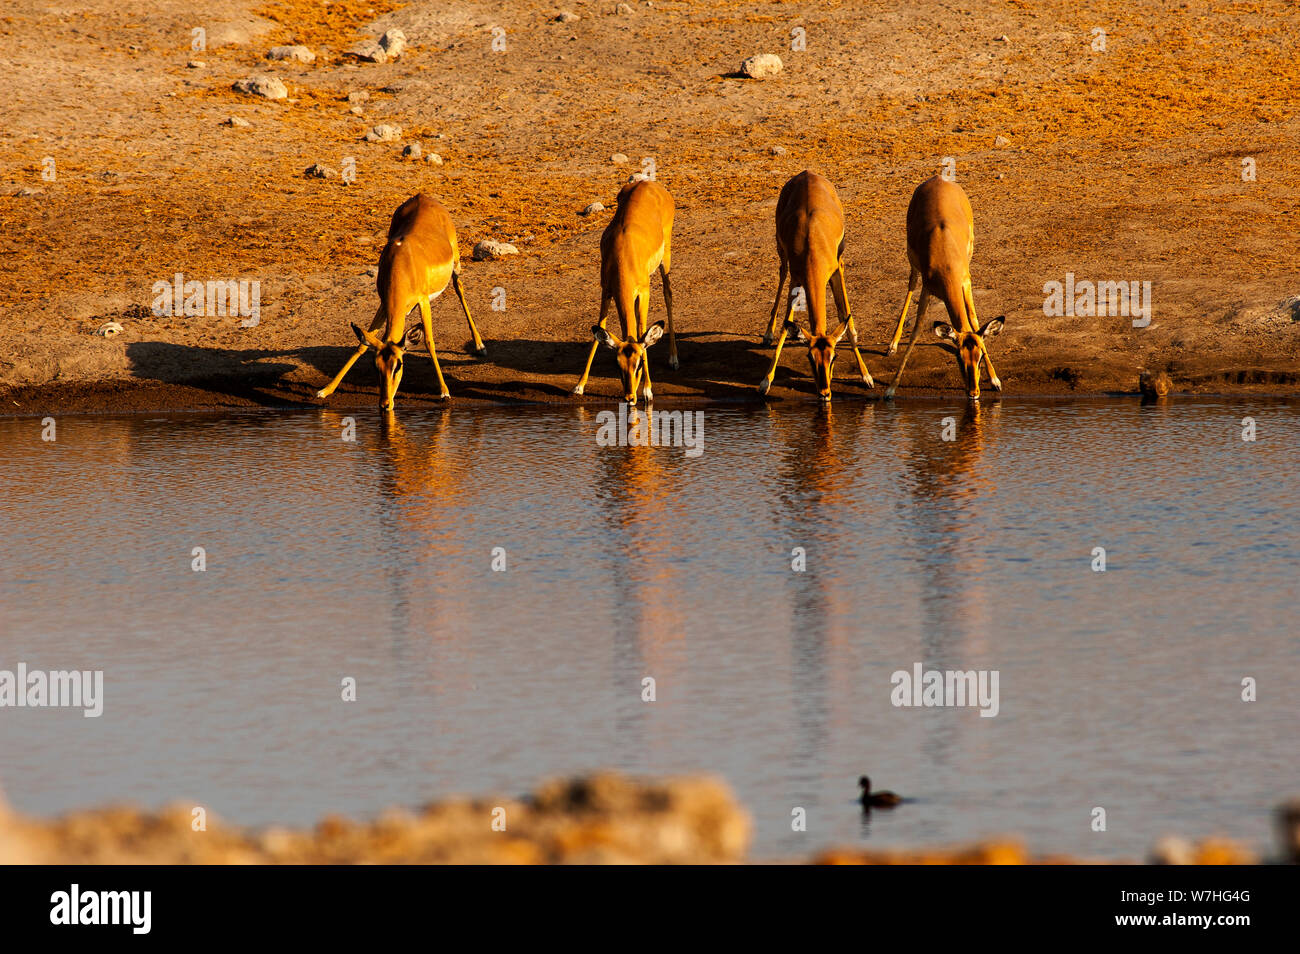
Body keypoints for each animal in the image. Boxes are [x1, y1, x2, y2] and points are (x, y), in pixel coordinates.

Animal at [316, 193, 487, 410]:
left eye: (399, 365)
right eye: (376, 366)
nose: (385, 404)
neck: (402, 266)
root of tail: (422, 196)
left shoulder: (423, 301)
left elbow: (429, 341)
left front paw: (444, 392)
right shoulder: (384, 304)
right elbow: (363, 344)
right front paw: (325, 390)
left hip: (456, 264)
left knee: (459, 288)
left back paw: (480, 346)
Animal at [573, 177, 679, 405]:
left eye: (638, 364)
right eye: (617, 365)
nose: (630, 397)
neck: (624, 255)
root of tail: (649, 183)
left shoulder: (644, 292)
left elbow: (641, 331)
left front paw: (648, 391)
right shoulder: (606, 290)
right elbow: (601, 328)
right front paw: (579, 385)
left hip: (665, 259)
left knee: (668, 294)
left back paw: (674, 359)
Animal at [758, 171, 875, 402]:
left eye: (834, 357)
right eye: (810, 357)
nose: (824, 393)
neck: (812, 246)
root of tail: (807, 173)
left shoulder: (834, 272)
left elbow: (842, 313)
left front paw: (866, 376)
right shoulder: (796, 279)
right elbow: (786, 323)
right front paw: (765, 382)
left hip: (840, 254)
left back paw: (853, 329)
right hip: (781, 252)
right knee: (781, 272)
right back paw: (767, 334)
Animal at [885, 176, 1004, 400]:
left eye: (979, 357)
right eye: (959, 357)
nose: (974, 393)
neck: (947, 260)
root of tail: (938, 178)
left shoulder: (966, 283)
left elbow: (974, 321)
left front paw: (995, 380)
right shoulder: (927, 289)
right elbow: (916, 331)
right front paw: (890, 388)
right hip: (912, 260)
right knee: (911, 284)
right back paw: (892, 346)